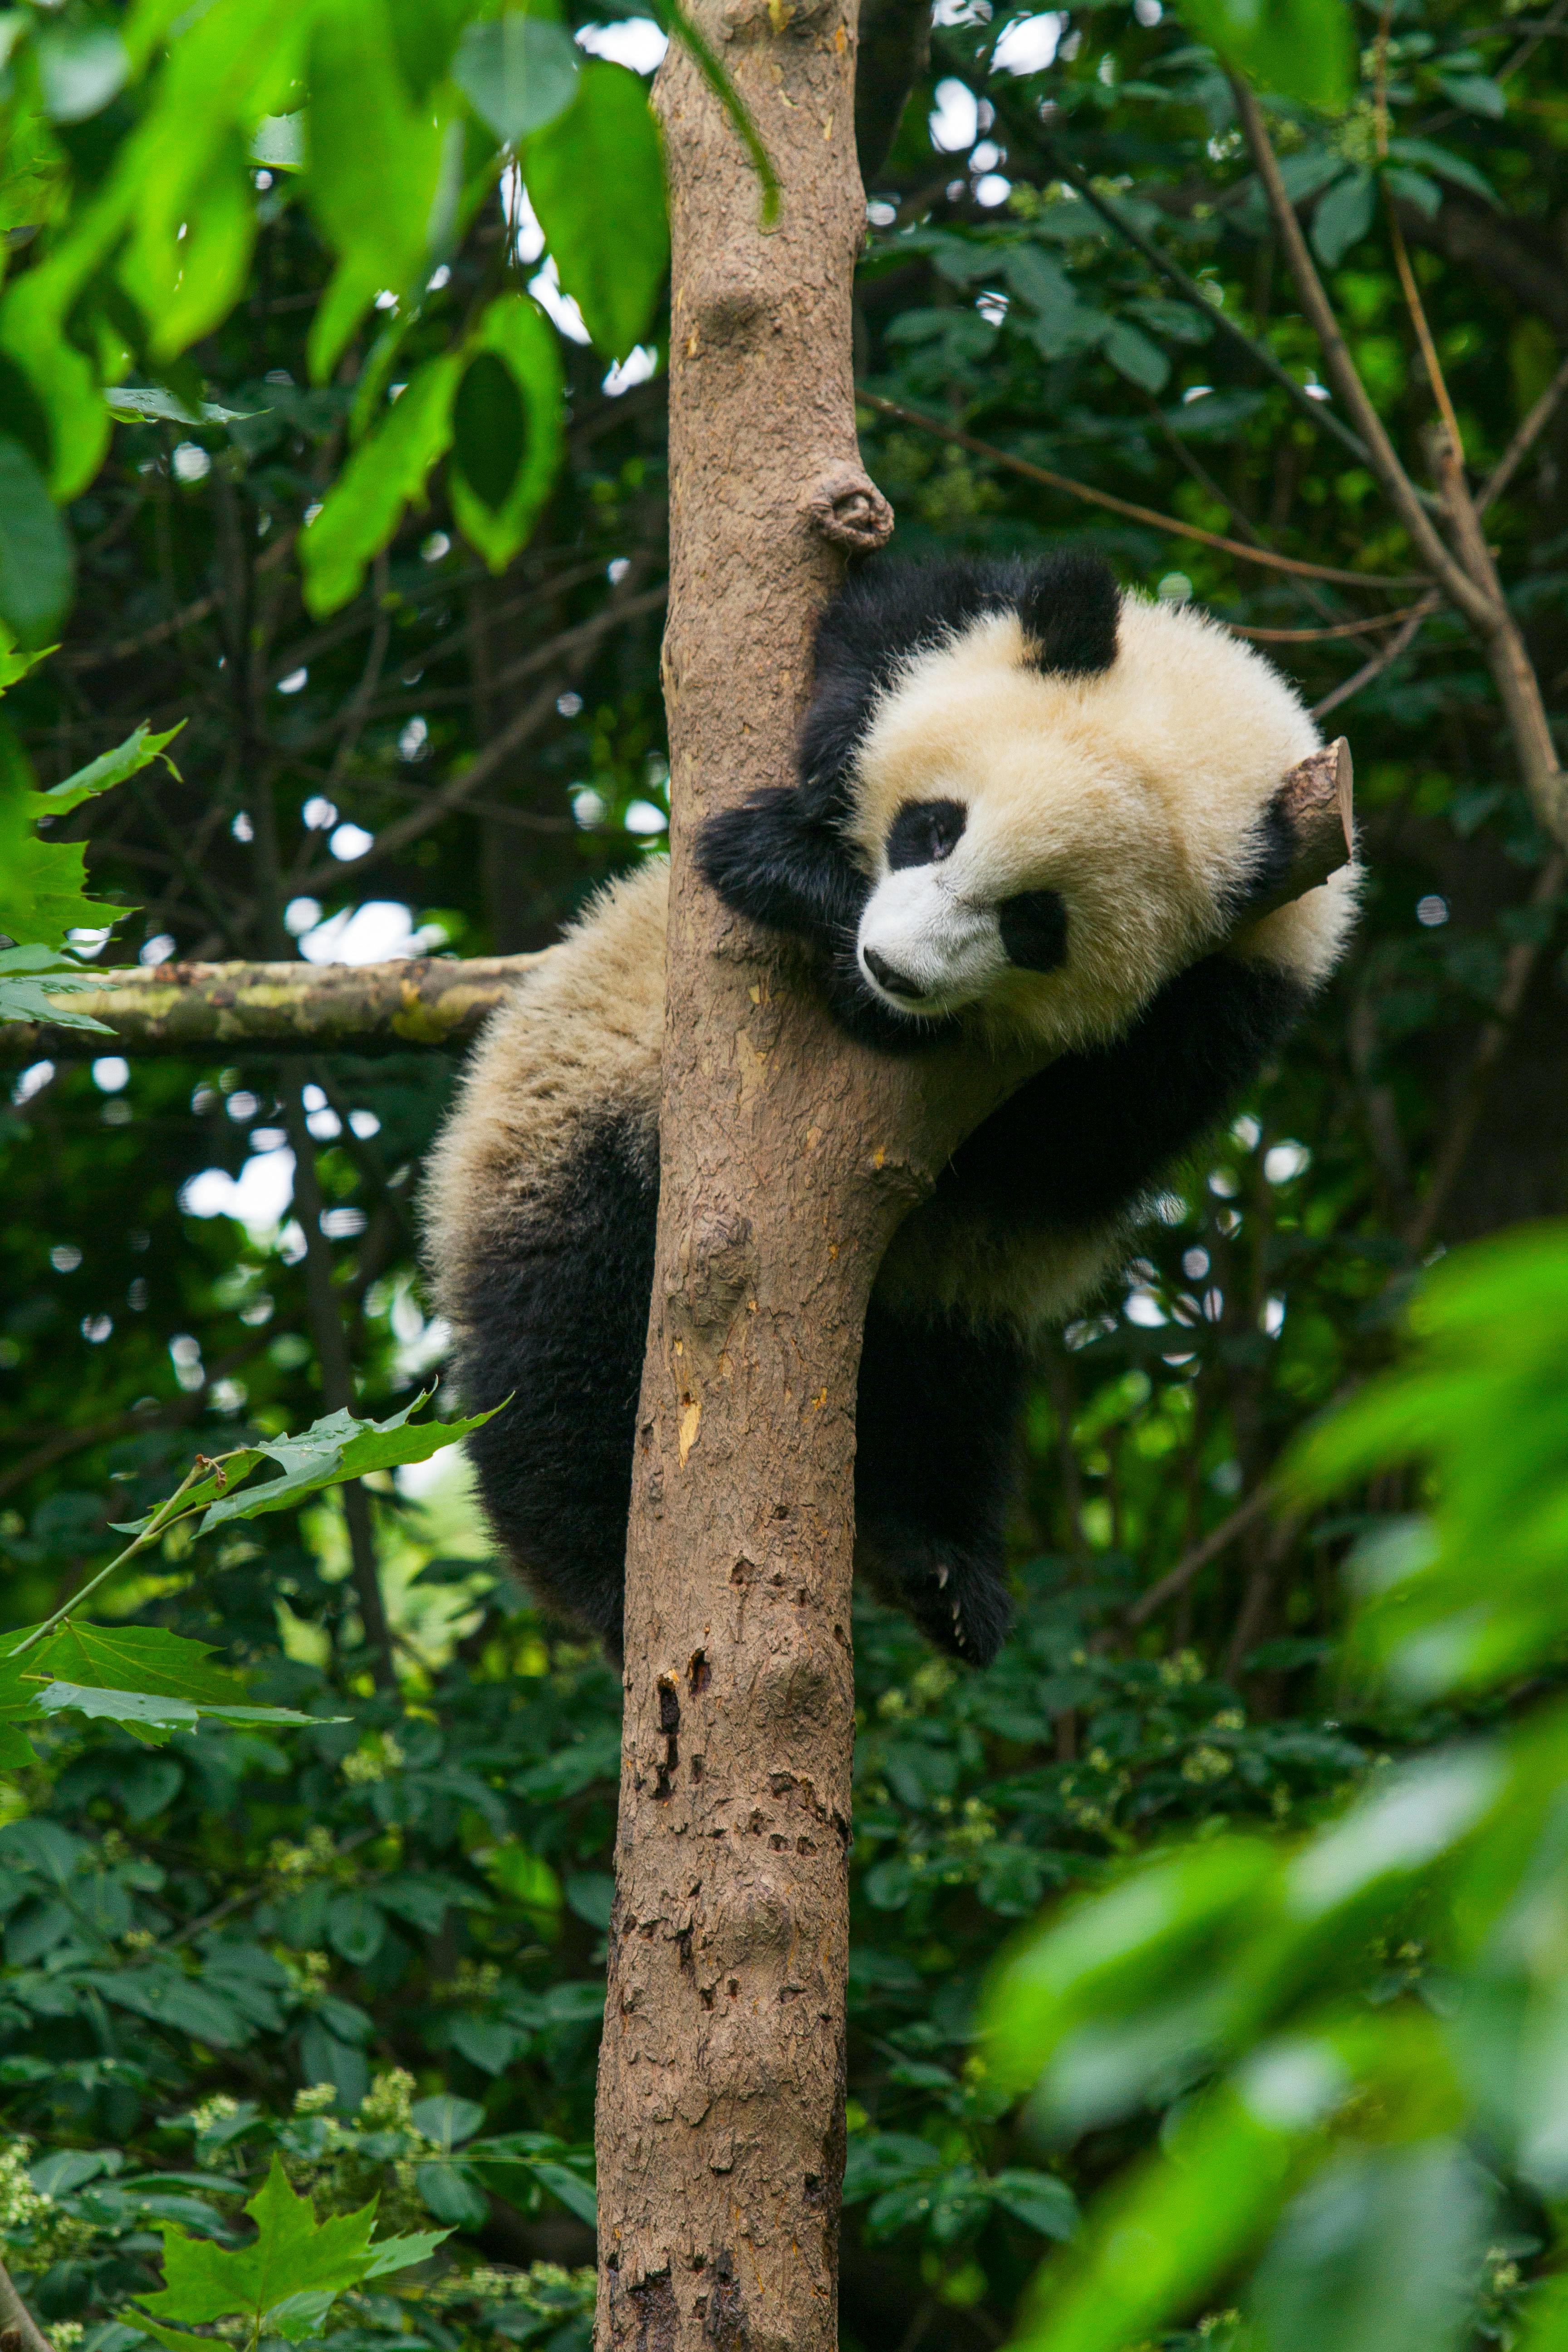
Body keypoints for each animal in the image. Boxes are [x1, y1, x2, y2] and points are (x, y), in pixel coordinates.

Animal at [422, 551, 1356, 1666]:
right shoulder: (949, 617)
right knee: (568, 1338)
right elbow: (863, 657)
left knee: (944, 1390)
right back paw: (608, 1572)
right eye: (934, 827)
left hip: (953, 1284)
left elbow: (1068, 1136)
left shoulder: (1225, 1007)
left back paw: (936, 1566)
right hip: (577, 1114)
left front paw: (833, 942)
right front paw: (784, 851)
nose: (890, 967)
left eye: (1036, 926)